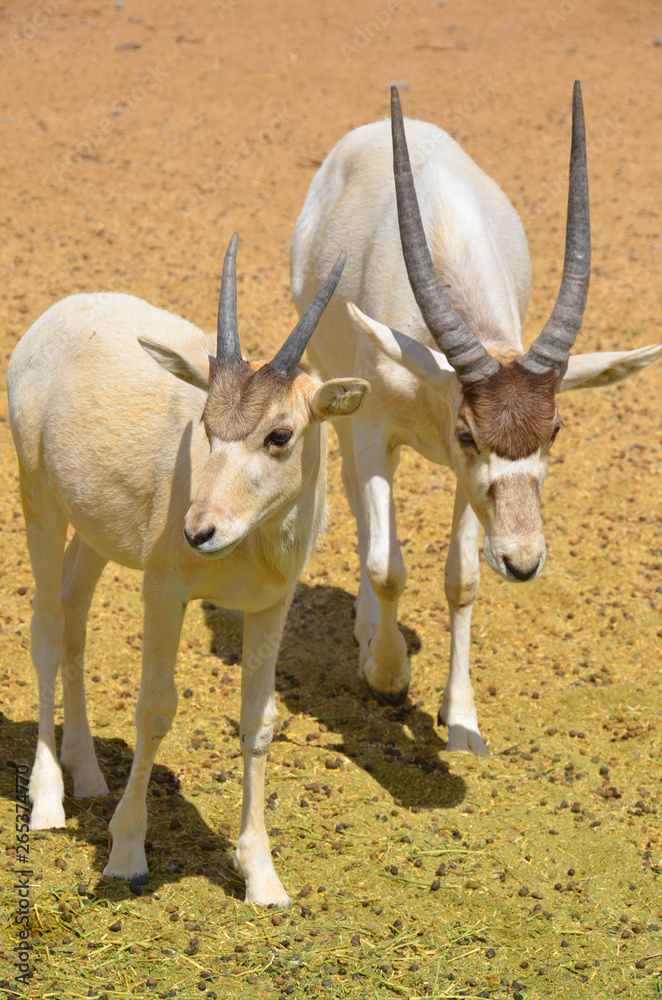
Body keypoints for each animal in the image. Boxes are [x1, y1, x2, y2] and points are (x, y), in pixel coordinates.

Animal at [7, 235, 369, 905]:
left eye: (280, 434)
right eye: (206, 427)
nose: (198, 530)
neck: (248, 544)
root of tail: (63, 311)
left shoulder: (272, 605)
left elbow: (259, 720)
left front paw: (262, 876)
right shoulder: (164, 592)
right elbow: (155, 708)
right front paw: (126, 853)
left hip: (93, 531)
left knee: (72, 617)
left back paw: (86, 771)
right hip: (37, 497)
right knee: (44, 628)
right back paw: (47, 798)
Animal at [291, 83, 661, 754]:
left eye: (554, 431)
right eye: (468, 432)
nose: (523, 560)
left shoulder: (467, 479)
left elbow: (462, 580)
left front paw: (462, 721)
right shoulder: (381, 435)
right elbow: (386, 566)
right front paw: (387, 673)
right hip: (346, 414)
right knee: (360, 511)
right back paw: (366, 632)